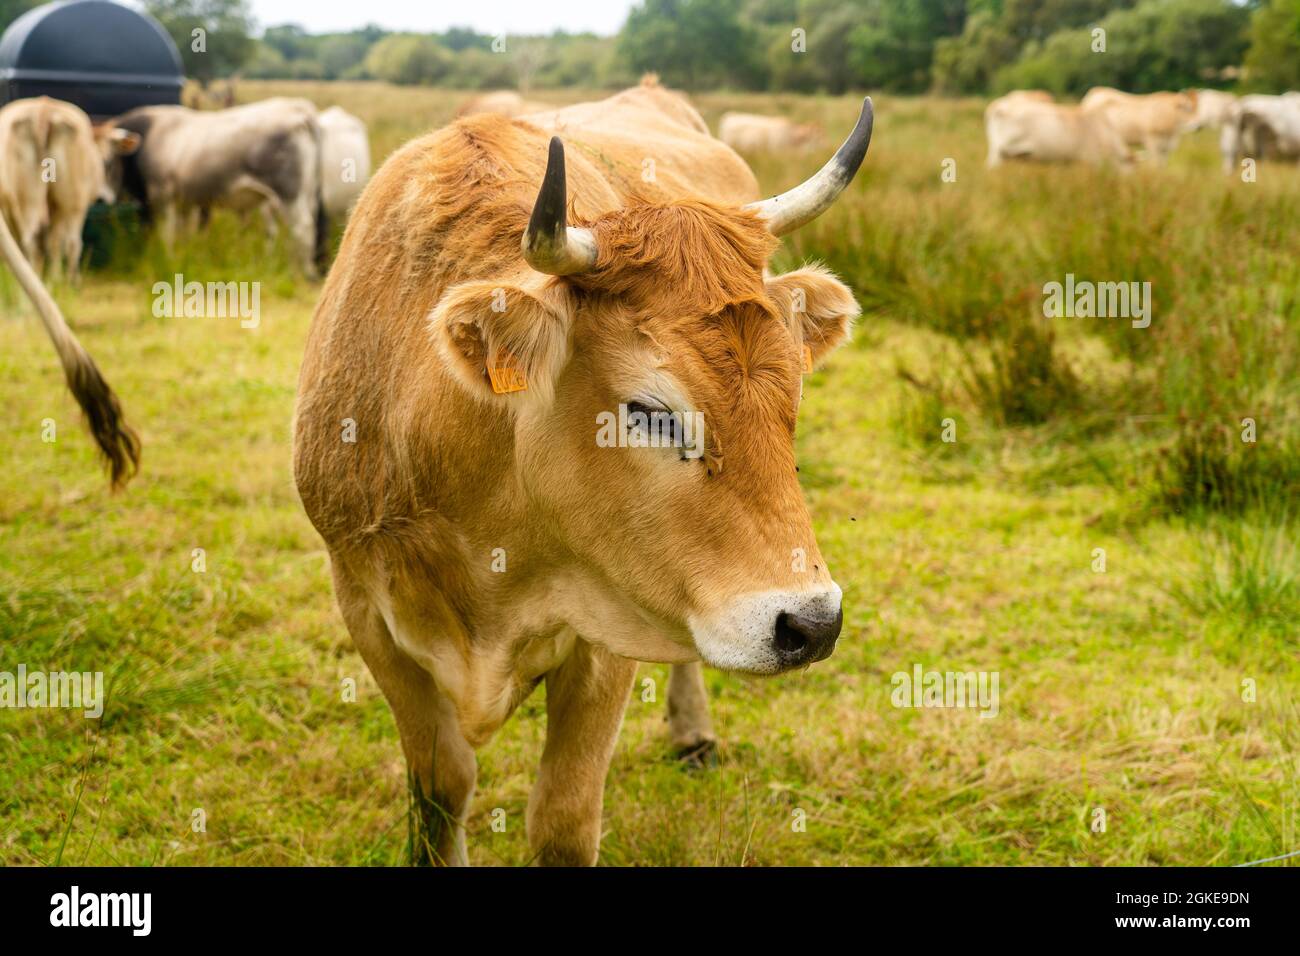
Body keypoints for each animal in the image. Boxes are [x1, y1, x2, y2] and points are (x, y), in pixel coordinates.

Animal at [110, 98, 329, 277]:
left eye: (108, 159)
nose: (105, 197)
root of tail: (298, 109)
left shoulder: (162, 195)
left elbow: (167, 234)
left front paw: (168, 260)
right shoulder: (184, 202)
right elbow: (182, 233)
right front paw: (183, 256)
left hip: (290, 195)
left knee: (301, 230)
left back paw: (299, 273)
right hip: (306, 194)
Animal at [293, 79, 873, 866]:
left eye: (793, 395)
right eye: (650, 411)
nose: (812, 623)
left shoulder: (610, 631)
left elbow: (563, 819)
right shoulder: (364, 607)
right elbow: (441, 788)